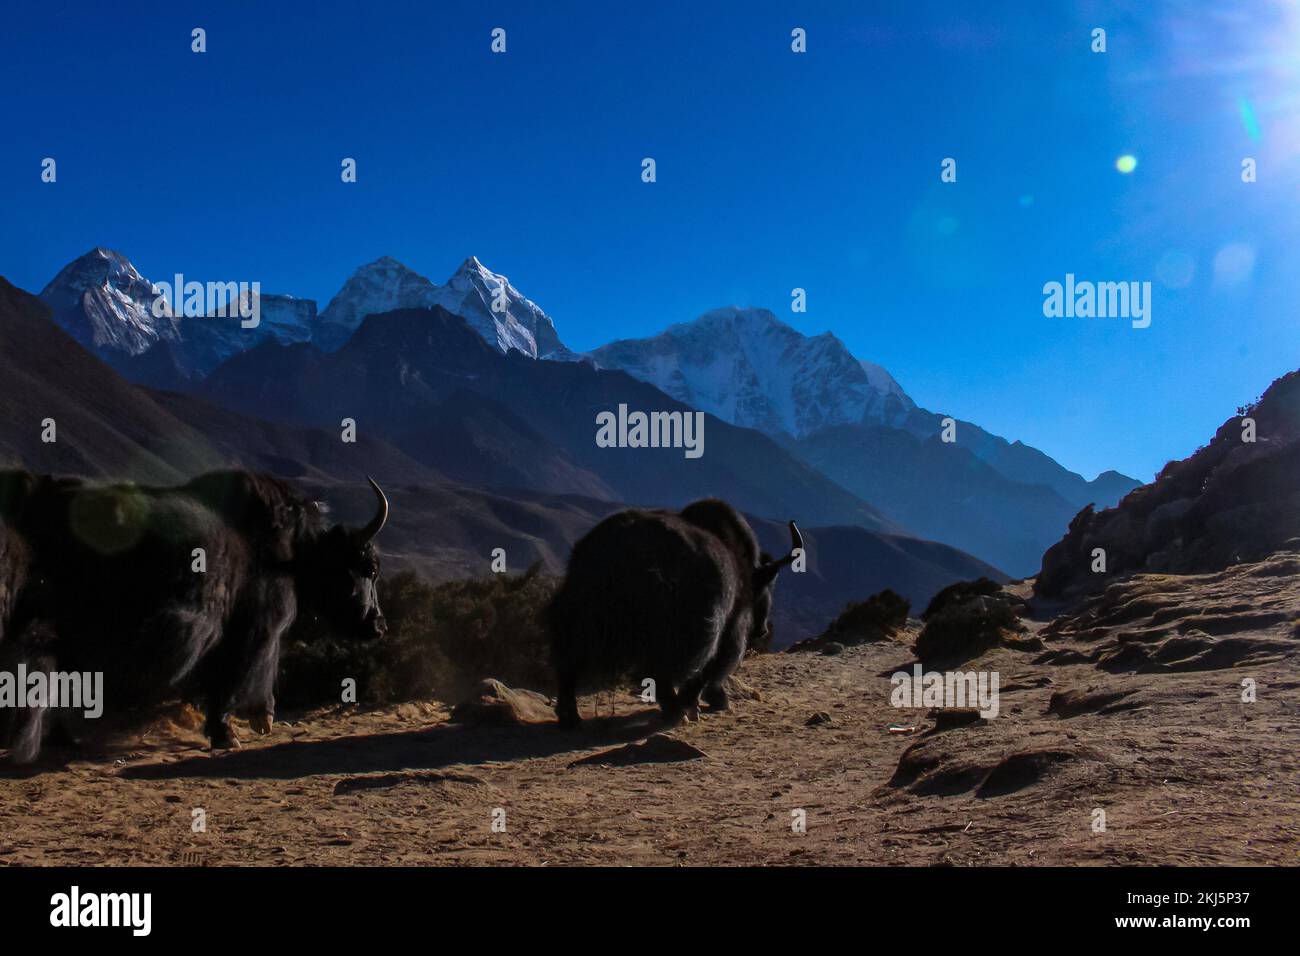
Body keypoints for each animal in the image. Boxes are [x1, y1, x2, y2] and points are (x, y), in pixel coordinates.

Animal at [0, 470, 390, 763]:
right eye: (368, 568)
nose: (379, 626)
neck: (293, 554)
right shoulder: (253, 629)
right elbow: (232, 679)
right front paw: (228, 734)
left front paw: (261, 718)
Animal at [547, 498, 801, 728]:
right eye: (767, 589)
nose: (762, 630)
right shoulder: (728, 630)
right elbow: (711, 668)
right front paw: (704, 702)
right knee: (661, 669)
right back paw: (676, 711)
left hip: (577, 615)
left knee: (568, 661)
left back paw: (570, 716)